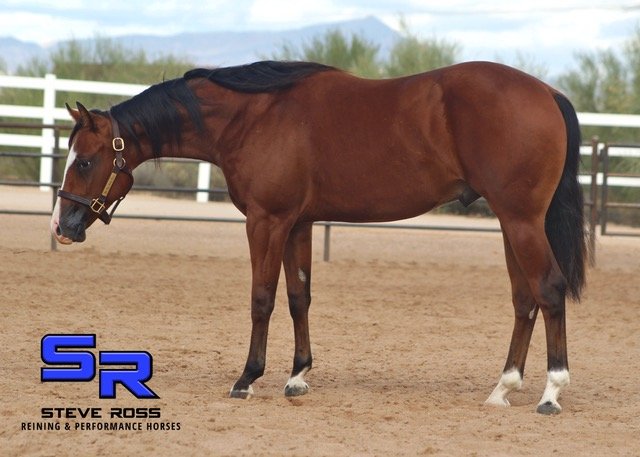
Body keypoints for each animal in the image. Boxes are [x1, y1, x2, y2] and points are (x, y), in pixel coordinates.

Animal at [50, 60, 586, 414]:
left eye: (85, 161)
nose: (62, 226)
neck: (254, 116)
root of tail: (547, 92)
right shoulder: (298, 224)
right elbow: (298, 297)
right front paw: (297, 376)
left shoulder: (265, 221)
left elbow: (262, 298)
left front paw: (248, 378)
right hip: (511, 223)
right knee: (524, 299)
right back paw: (503, 388)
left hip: (520, 220)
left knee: (549, 289)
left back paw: (551, 392)